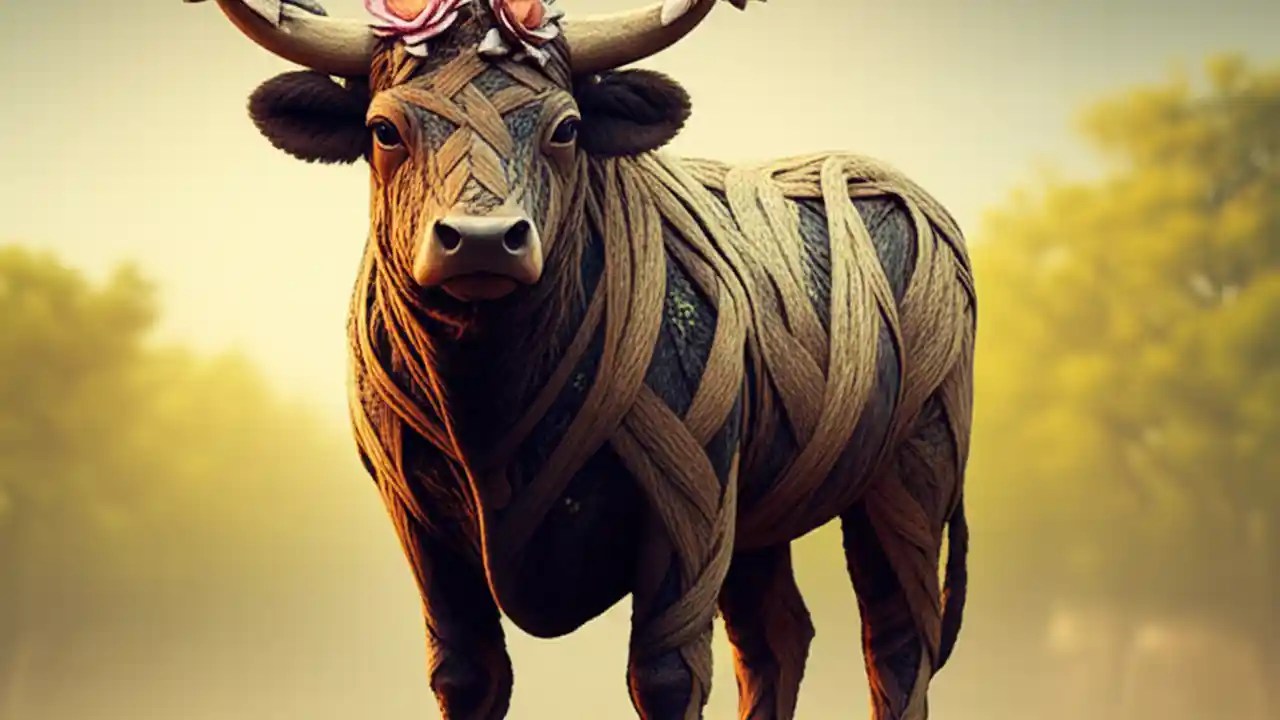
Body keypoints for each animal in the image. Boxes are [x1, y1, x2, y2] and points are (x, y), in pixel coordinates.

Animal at [188, 1, 976, 718]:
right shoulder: (417, 523)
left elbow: (665, 675)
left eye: (565, 129)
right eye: (384, 130)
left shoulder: (690, 505)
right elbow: (467, 674)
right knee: (774, 635)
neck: (489, 396)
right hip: (760, 515)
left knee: (897, 638)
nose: (481, 242)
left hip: (911, 473)